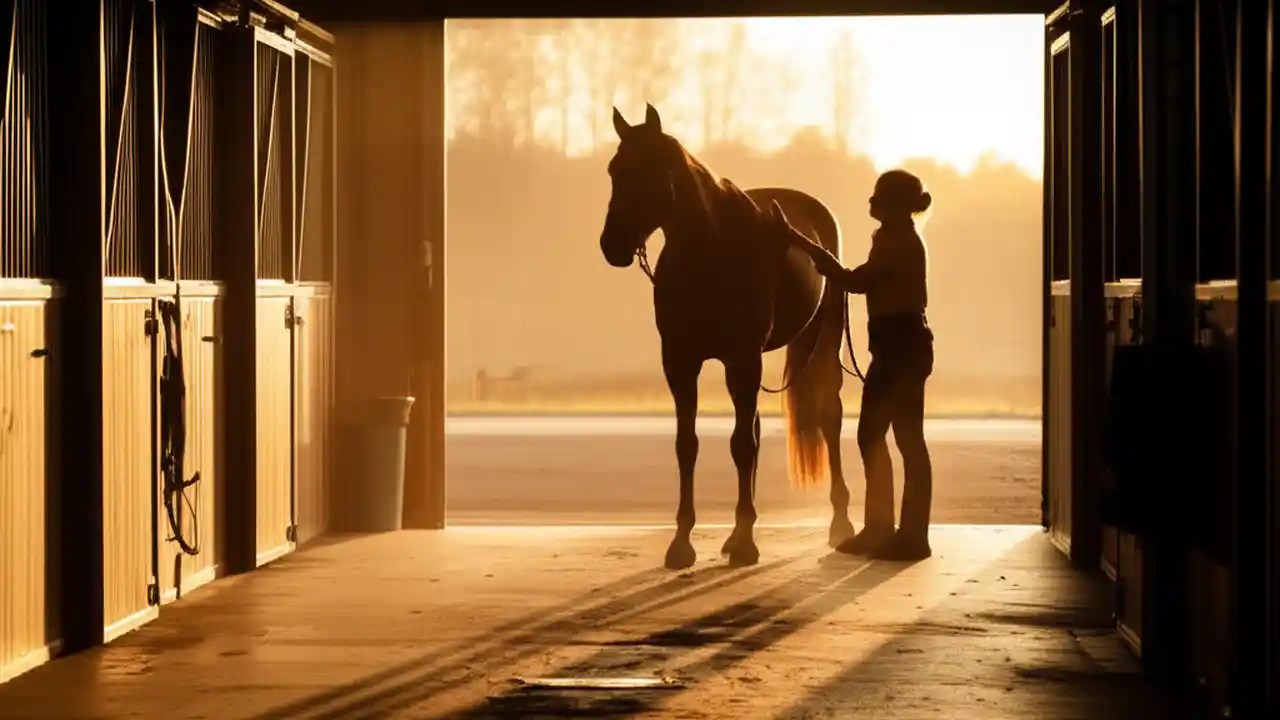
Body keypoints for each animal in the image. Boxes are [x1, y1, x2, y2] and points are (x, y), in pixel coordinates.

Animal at [598, 104, 854, 569]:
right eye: (613, 170)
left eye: (647, 169)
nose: (613, 245)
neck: (710, 254)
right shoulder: (680, 362)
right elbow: (688, 444)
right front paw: (683, 541)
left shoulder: (741, 357)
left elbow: (741, 445)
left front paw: (746, 541)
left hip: (820, 344)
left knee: (828, 415)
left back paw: (839, 523)